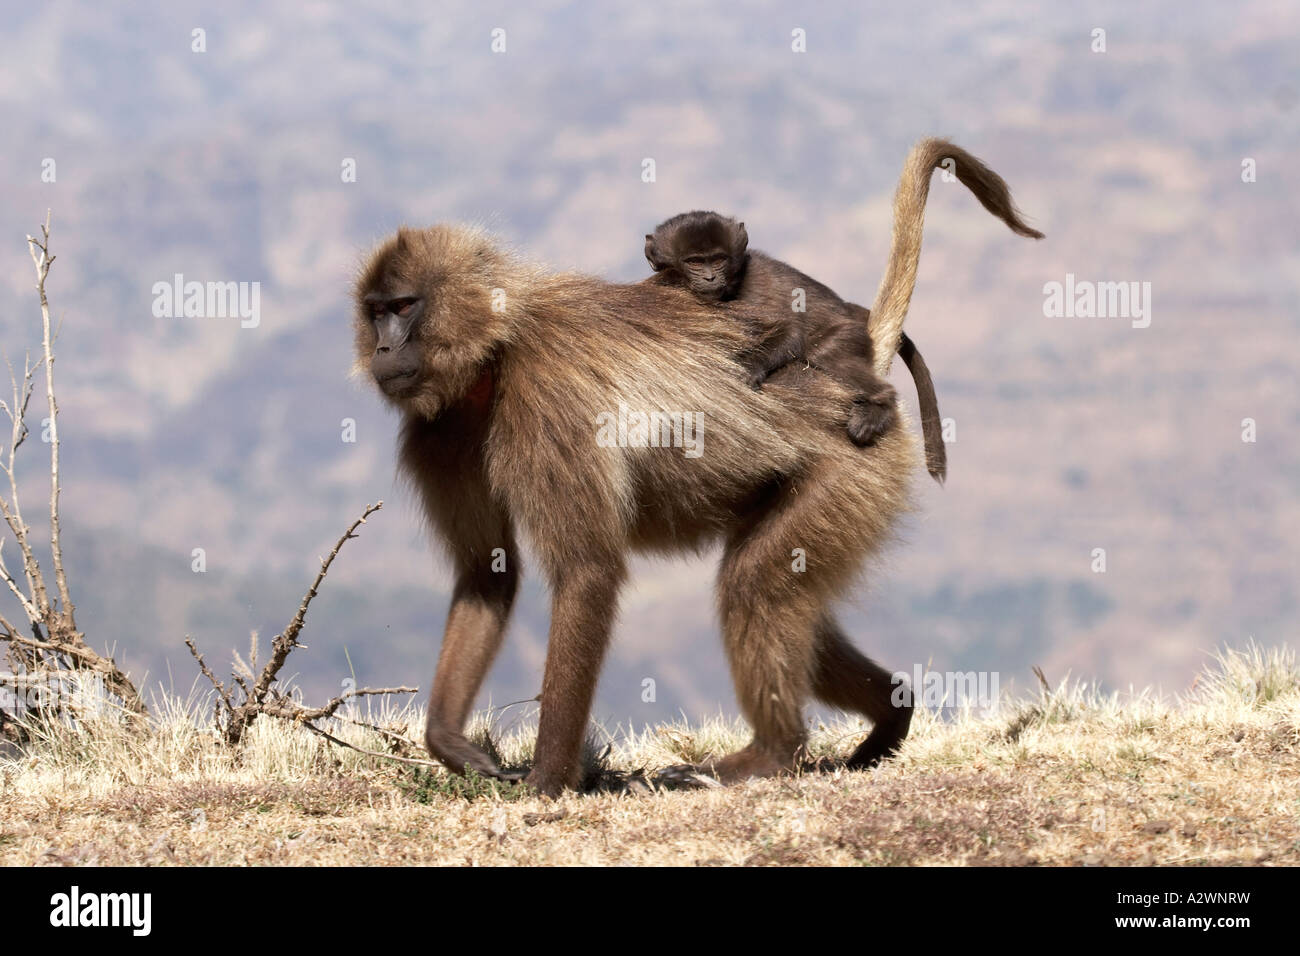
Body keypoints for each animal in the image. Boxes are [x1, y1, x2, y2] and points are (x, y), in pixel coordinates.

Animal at [645, 211, 948, 479]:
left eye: (718, 259)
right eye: (694, 262)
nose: (710, 278)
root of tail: (847, 309)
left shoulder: (749, 299)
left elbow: (792, 332)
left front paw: (748, 369)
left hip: (849, 333)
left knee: (822, 352)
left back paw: (880, 403)